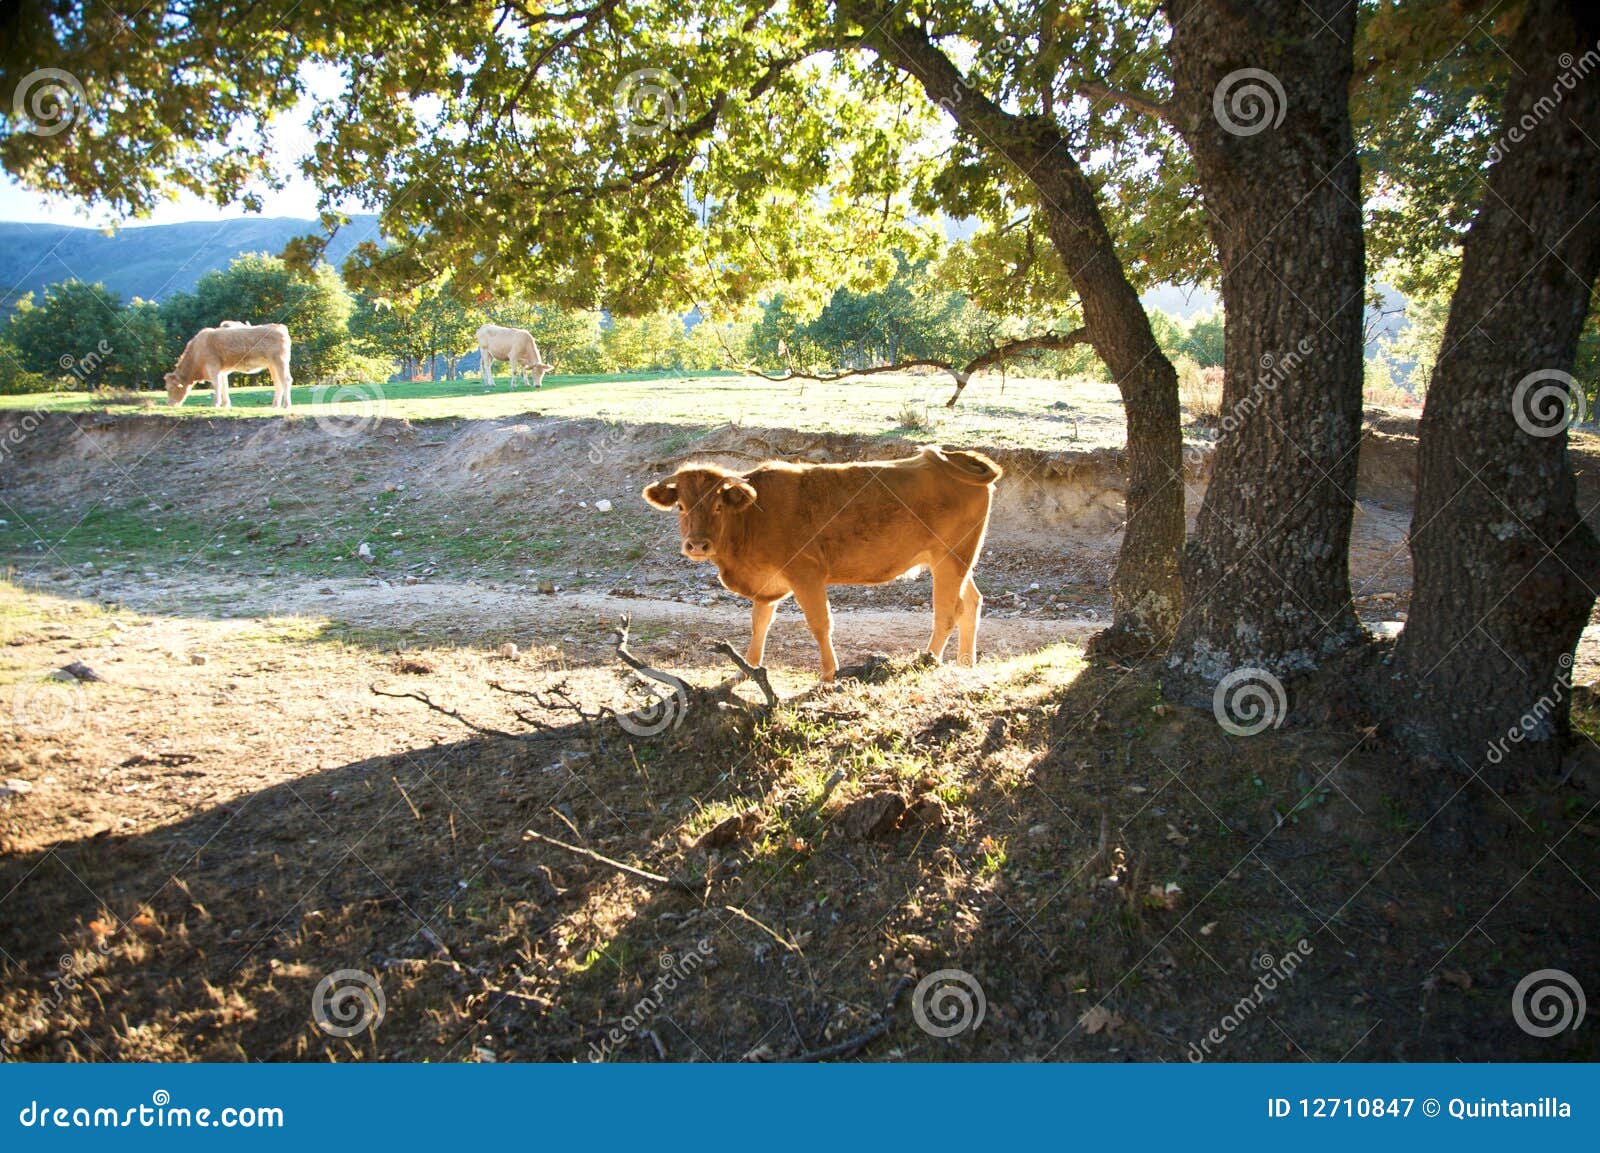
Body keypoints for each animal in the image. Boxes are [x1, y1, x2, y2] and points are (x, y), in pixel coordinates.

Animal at [165, 323, 293, 409]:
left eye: (170, 388)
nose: (170, 404)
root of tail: (279, 326)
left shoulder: (213, 366)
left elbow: (216, 385)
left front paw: (216, 404)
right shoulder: (221, 371)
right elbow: (224, 386)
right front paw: (226, 404)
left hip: (280, 361)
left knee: (286, 380)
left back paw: (286, 405)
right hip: (272, 365)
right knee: (278, 382)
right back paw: (275, 405)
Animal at [643, 446, 1004, 682]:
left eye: (718, 506)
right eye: (680, 506)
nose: (697, 545)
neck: (753, 515)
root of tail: (954, 458)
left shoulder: (806, 574)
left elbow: (820, 624)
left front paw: (829, 674)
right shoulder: (767, 585)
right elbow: (759, 624)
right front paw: (748, 669)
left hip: (950, 558)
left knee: (948, 611)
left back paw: (928, 659)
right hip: (956, 561)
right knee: (971, 602)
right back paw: (965, 664)